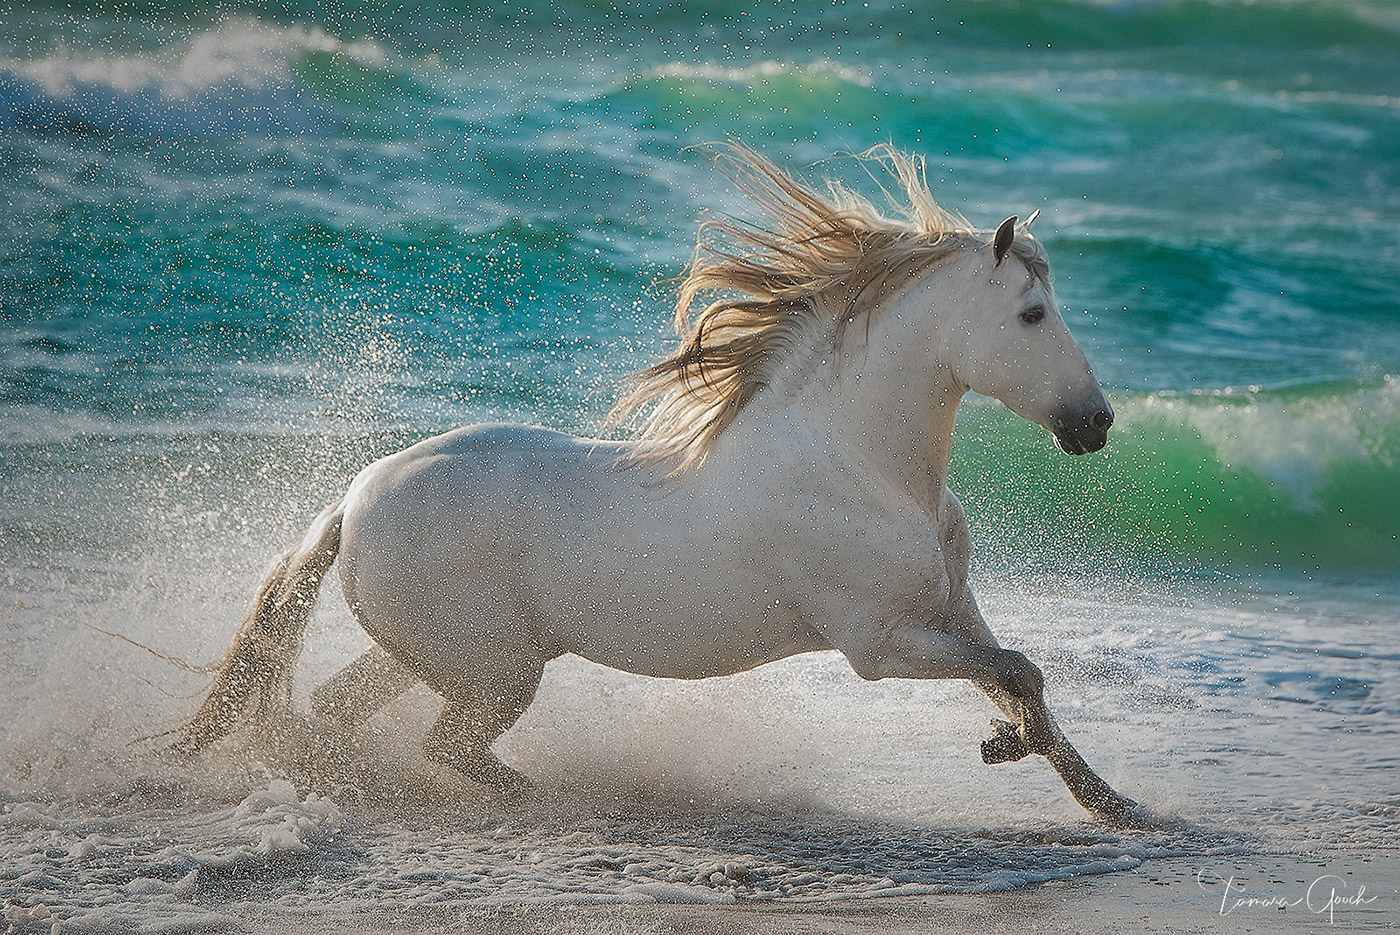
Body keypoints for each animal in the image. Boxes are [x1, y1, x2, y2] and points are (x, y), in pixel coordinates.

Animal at [175, 144, 1138, 820]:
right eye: (1032, 314)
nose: (1096, 423)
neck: (858, 467)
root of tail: (352, 498)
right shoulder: (881, 643)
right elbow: (1020, 676)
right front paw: (1005, 747)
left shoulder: (952, 610)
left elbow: (1024, 678)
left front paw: (1114, 804)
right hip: (498, 673)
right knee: (443, 746)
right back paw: (554, 800)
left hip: (440, 655)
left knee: (336, 713)